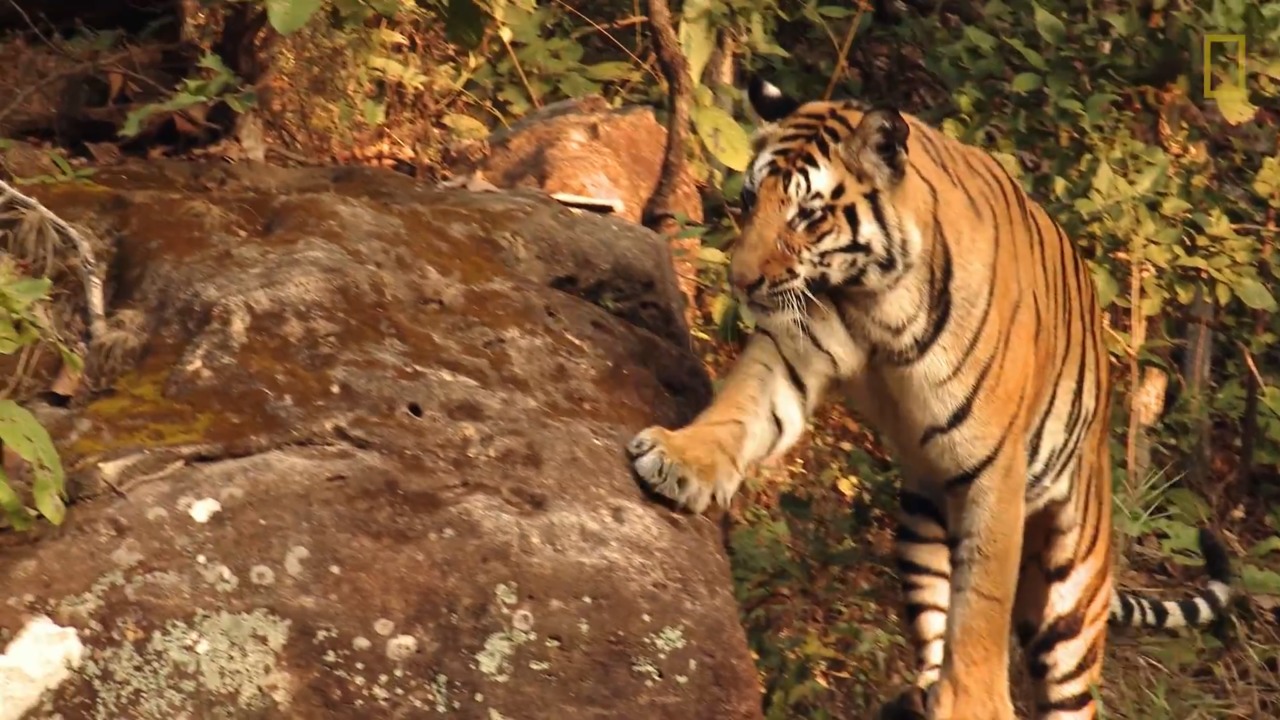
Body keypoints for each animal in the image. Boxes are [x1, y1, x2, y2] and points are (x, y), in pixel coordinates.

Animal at [626, 76, 1235, 720]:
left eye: (808, 216)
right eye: (749, 202)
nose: (740, 282)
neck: (871, 300)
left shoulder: (995, 471)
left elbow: (984, 602)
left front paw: (974, 704)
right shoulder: (796, 345)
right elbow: (742, 408)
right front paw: (678, 460)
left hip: (1072, 592)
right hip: (922, 522)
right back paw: (922, 690)